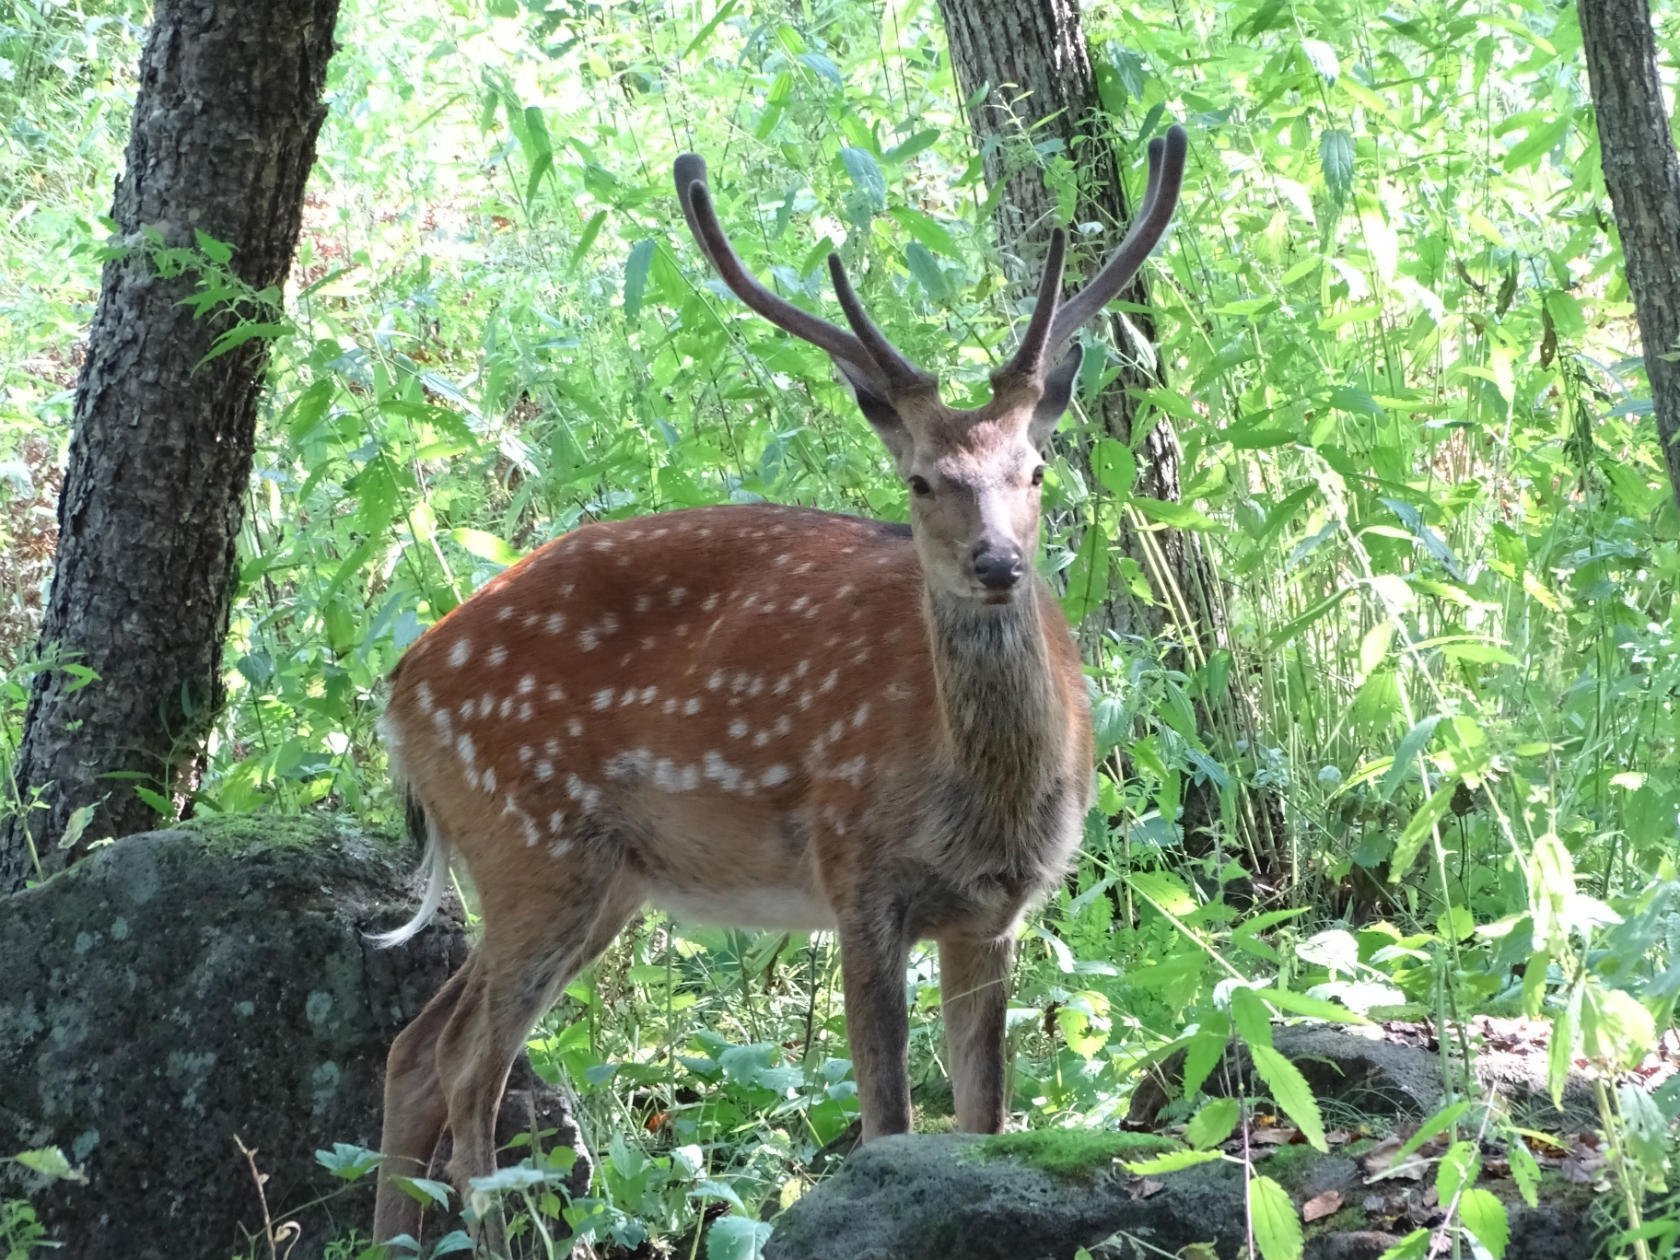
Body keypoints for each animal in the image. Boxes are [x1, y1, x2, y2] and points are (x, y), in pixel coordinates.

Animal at [374, 123, 1189, 1249]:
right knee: (466, 1063)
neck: (979, 793)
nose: (996, 563)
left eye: (1033, 470)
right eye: (921, 480)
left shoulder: (996, 909)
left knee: (414, 1046)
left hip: (598, 879)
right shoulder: (856, 875)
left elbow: (984, 1120)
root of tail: (400, 687)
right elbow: (889, 1125)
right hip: (529, 840)